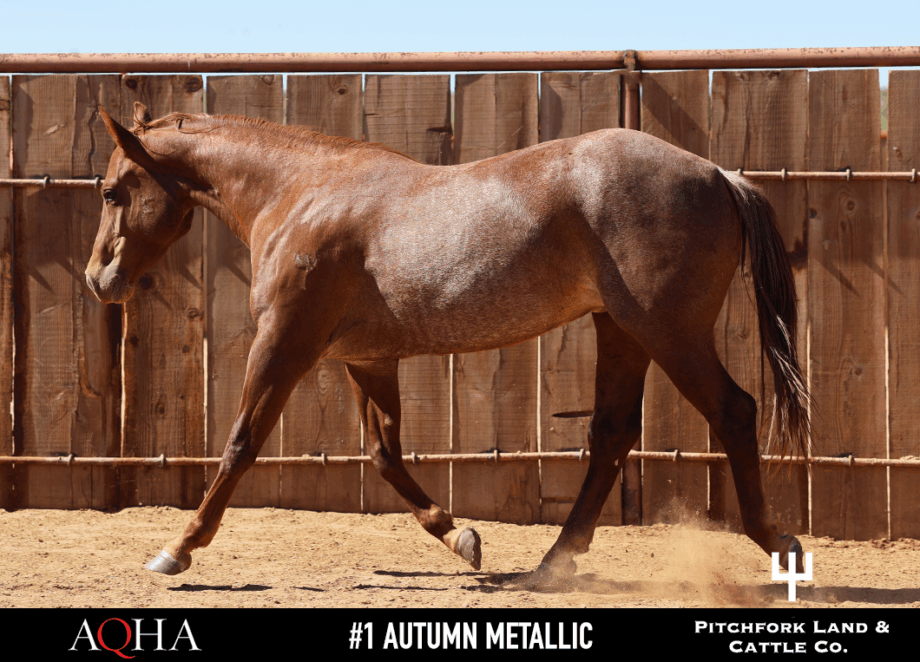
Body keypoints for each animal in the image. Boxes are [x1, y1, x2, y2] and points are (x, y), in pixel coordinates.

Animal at [85, 102, 810, 585]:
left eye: (114, 190)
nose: (99, 278)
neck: (299, 195)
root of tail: (717, 174)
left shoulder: (284, 343)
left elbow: (241, 443)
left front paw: (177, 549)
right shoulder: (366, 360)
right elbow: (384, 456)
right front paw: (461, 537)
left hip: (668, 330)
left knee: (734, 411)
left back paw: (778, 544)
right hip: (622, 330)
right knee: (610, 433)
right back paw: (552, 563)